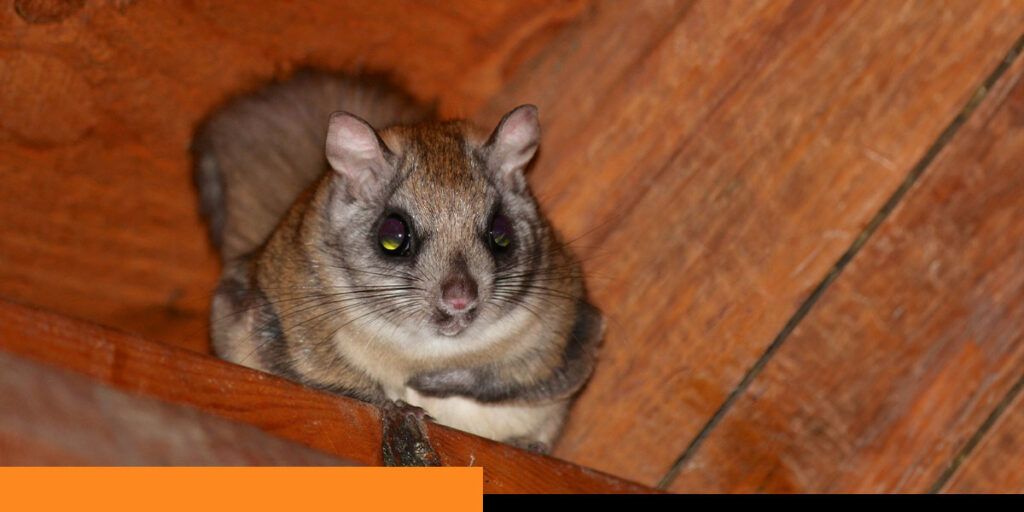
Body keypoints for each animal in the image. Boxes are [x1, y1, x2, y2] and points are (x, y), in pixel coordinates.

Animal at [192, 70, 603, 452]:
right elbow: (329, 377)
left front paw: (434, 383)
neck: (426, 348)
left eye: (501, 233)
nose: (460, 298)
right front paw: (399, 404)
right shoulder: (287, 313)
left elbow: (522, 377)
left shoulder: (571, 325)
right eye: (392, 236)